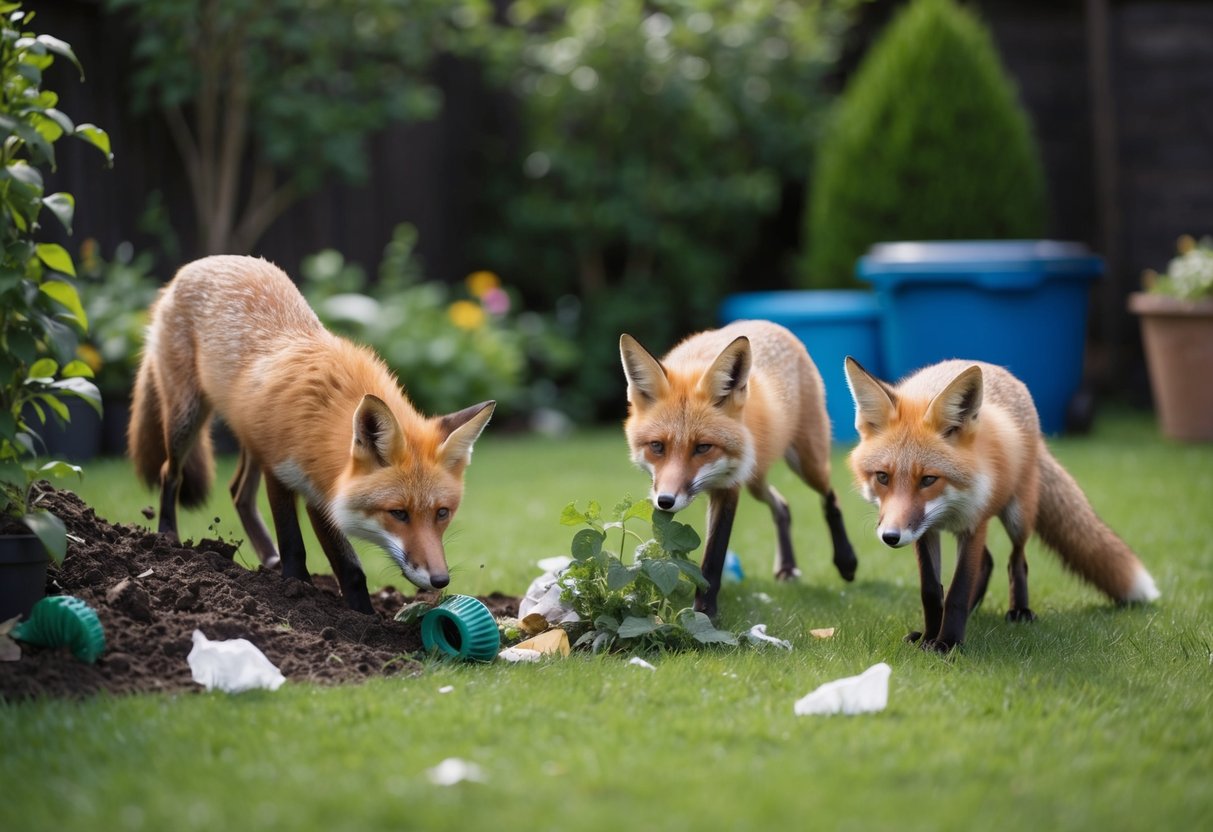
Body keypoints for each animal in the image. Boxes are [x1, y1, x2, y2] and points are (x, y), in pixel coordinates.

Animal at [128, 255, 495, 614]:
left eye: (442, 513)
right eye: (398, 514)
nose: (440, 580)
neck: (322, 415)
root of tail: (192, 267)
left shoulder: (322, 492)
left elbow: (350, 570)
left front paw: (363, 616)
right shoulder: (284, 474)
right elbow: (296, 543)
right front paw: (297, 589)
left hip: (248, 439)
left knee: (238, 492)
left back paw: (267, 556)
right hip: (187, 418)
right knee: (170, 473)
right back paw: (167, 535)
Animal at [620, 321, 858, 619]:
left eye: (703, 447)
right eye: (657, 446)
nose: (666, 501)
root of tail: (769, 324)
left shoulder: (729, 486)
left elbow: (714, 557)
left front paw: (705, 613)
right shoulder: (663, 487)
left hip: (807, 464)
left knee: (830, 498)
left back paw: (846, 561)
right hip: (756, 478)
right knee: (783, 506)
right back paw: (787, 567)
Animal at [843, 356, 1160, 652]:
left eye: (928, 479)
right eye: (882, 477)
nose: (890, 537)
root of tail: (991, 367)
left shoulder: (974, 523)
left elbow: (958, 590)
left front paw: (948, 644)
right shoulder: (925, 531)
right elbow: (932, 591)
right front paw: (930, 637)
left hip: (1018, 515)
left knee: (1016, 560)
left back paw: (1019, 611)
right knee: (988, 562)